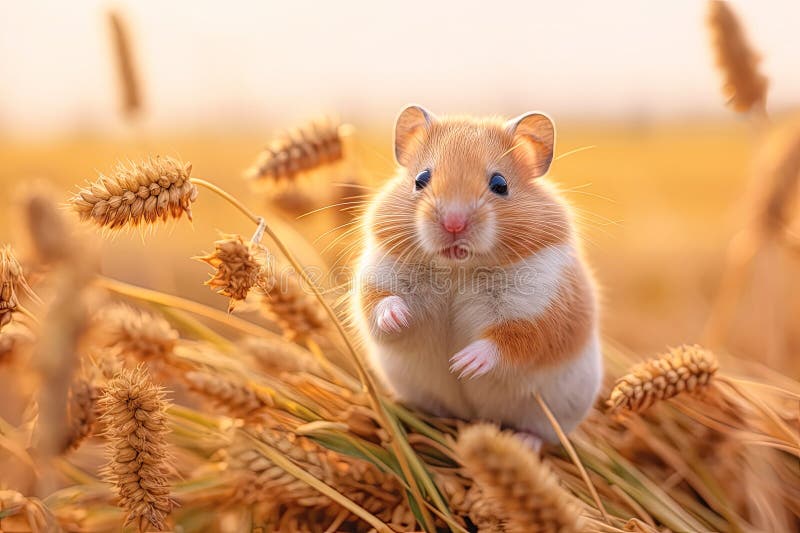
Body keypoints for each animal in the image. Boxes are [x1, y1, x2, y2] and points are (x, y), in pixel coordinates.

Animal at [353, 105, 602, 446]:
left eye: (500, 183)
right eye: (421, 179)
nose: (454, 223)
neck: (458, 270)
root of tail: (471, 417)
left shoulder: (540, 310)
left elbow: (510, 340)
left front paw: (462, 363)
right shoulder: (377, 276)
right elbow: (380, 304)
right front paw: (399, 317)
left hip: (556, 411)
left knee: (542, 433)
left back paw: (522, 441)